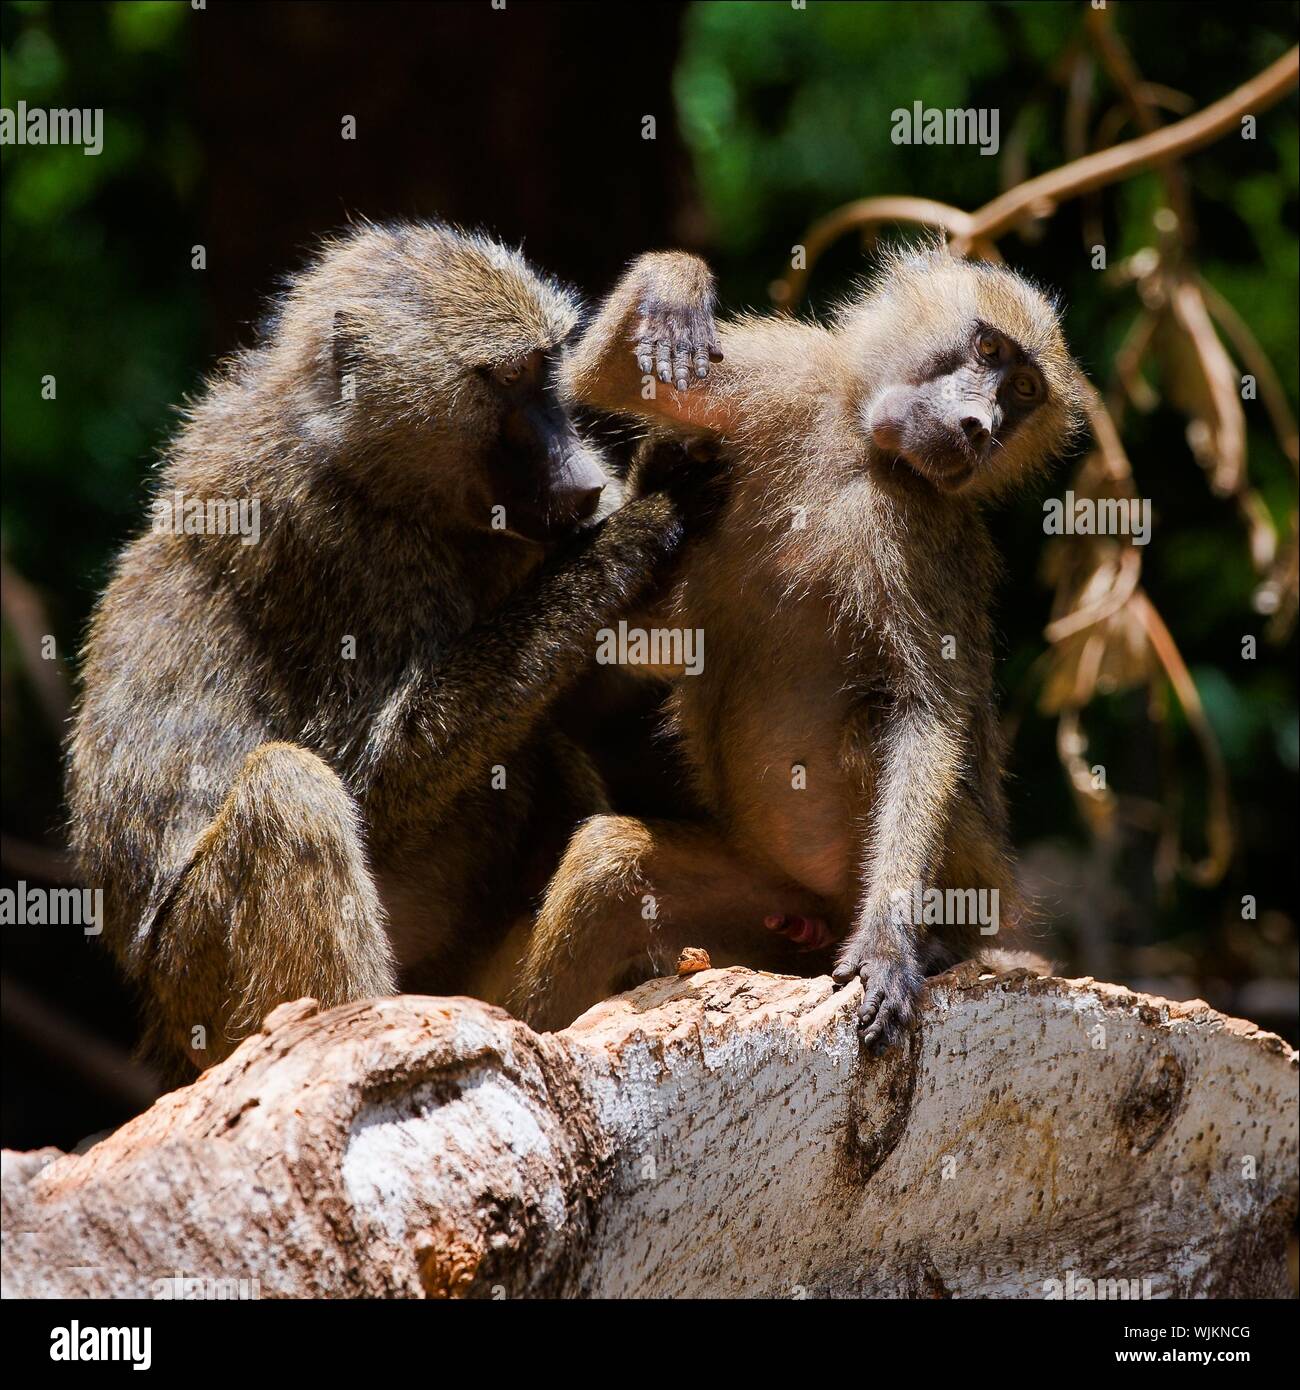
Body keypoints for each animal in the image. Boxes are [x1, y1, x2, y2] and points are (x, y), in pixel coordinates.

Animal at [66, 221, 720, 1082]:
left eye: (549, 370)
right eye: (507, 382)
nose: (581, 480)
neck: (379, 475)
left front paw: (666, 295)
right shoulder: (325, 541)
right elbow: (379, 774)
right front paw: (642, 519)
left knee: (536, 744)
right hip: (198, 985)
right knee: (289, 791)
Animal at [502, 245, 1082, 1050]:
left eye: (1024, 394)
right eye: (990, 351)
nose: (977, 426)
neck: (863, 450)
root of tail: (813, 917)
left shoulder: (927, 536)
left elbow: (924, 714)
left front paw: (890, 946)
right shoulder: (789, 380)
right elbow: (600, 380)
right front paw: (674, 293)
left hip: (965, 885)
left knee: (873, 726)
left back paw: (936, 947)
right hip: (756, 907)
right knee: (606, 865)